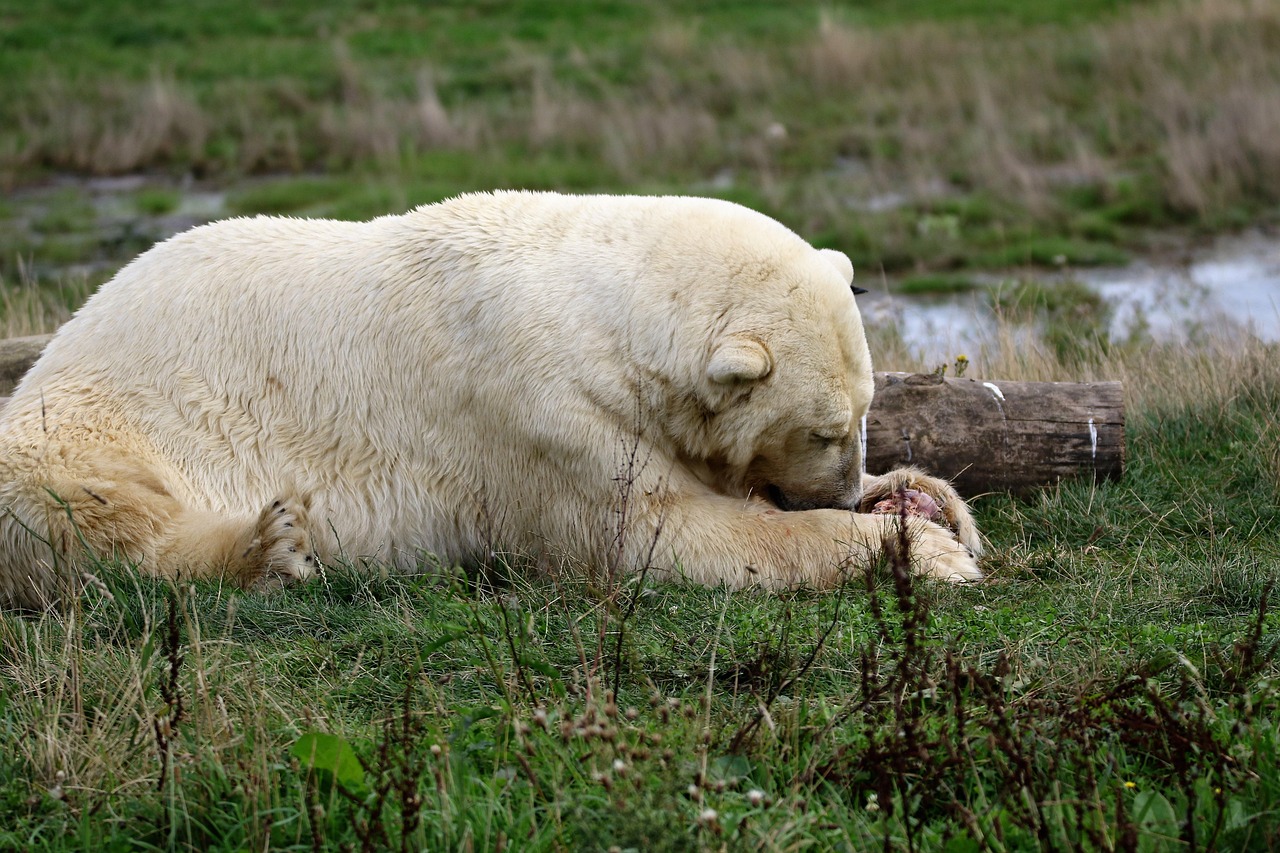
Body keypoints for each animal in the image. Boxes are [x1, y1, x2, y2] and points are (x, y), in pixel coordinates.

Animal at [0, 191, 981, 609]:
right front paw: (923, 551)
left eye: (867, 413)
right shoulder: (536, 405)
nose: (842, 488)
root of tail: (58, 348)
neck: (599, 300)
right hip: (88, 421)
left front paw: (925, 501)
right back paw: (268, 547)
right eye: (825, 429)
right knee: (91, 512)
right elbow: (658, 537)